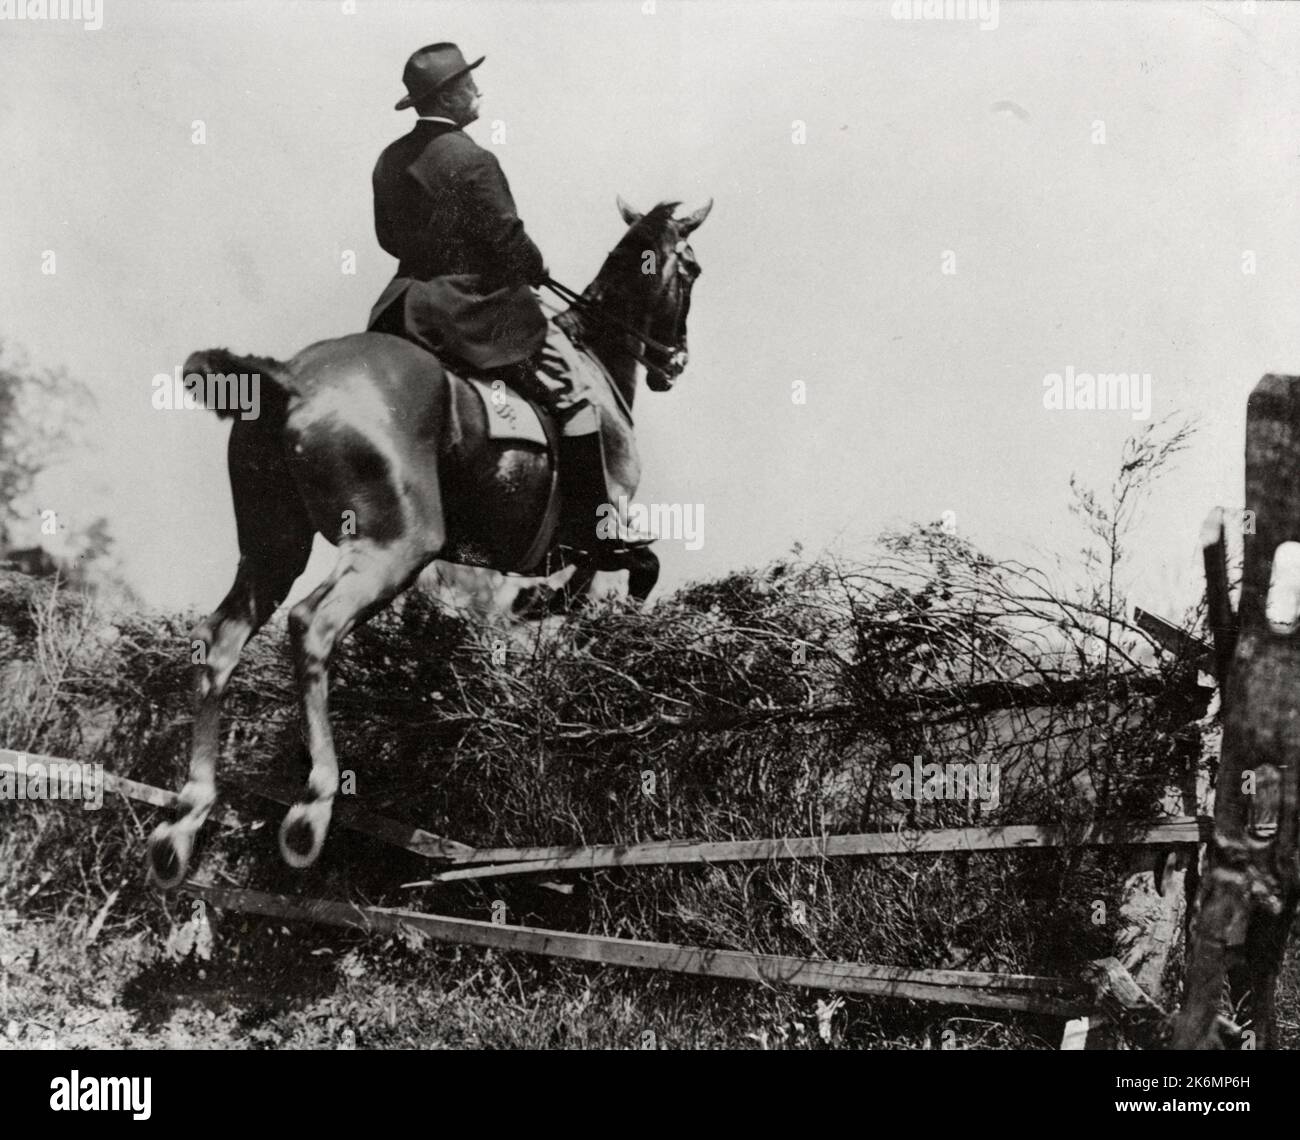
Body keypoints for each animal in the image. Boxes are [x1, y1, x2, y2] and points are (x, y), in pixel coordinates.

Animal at [147, 196, 711, 888]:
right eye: (693, 269)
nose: (674, 363)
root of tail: (292, 378)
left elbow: (590, 584)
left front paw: (546, 614)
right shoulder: (600, 528)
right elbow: (637, 569)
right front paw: (581, 623)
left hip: (272, 549)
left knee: (220, 642)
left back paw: (186, 818)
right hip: (399, 545)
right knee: (313, 625)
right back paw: (314, 805)